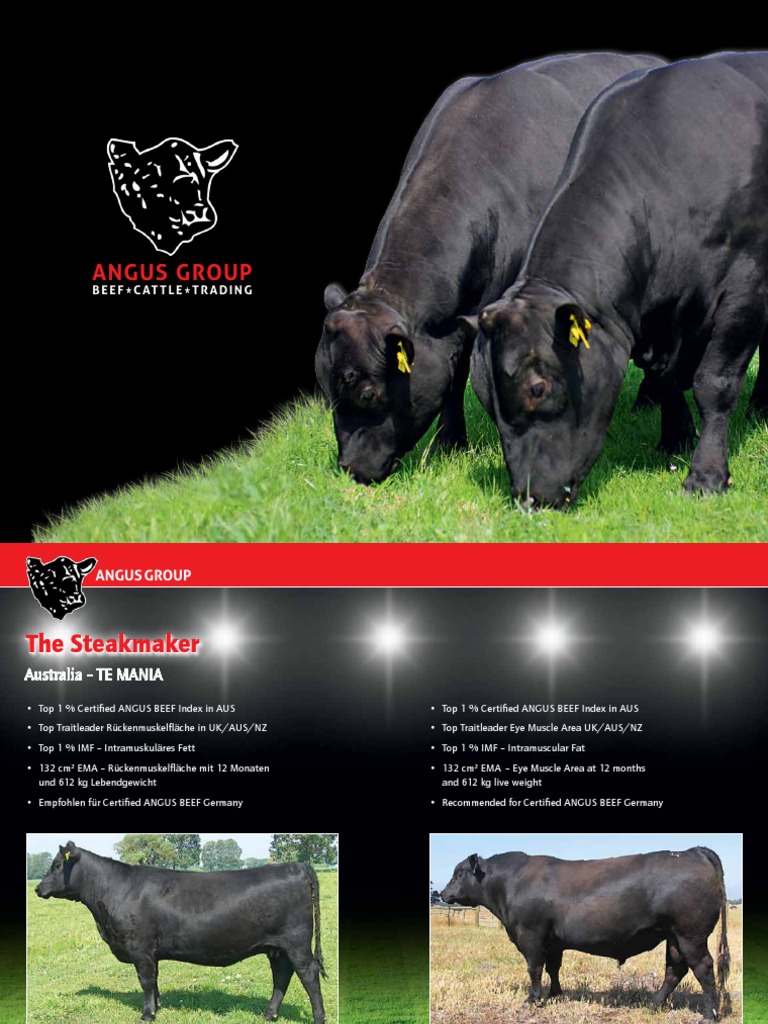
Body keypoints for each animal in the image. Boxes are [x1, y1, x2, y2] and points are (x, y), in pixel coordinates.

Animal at [35, 842, 327, 1023]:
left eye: (56, 866)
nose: (38, 888)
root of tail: (297, 865)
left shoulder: (140, 948)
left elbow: (146, 981)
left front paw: (147, 1014)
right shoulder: (152, 952)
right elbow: (155, 980)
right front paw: (157, 1007)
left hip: (296, 942)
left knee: (308, 974)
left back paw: (318, 1017)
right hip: (277, 947)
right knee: (282, 975)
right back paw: (269, 1014)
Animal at [441, 846, 731, 1022]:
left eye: (459, 873)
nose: (443, 894)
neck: (508, 883)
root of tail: (691, 851)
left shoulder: (530, 935)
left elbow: (534, 968)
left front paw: (533, 1000)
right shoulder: (553, 941)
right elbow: (553, 968)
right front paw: (555, 994)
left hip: (690, 934)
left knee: (703, 968)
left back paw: (709, 1015)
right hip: (673, 936)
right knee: (675, 969)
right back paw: (652, 1004)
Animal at [471, 52, 767, 508]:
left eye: (537, 388)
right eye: (488, 403)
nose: (528, 498)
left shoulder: (744, 288)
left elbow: (714, 385)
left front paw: (706, 476)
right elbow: (665, 379)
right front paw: (675, 437)